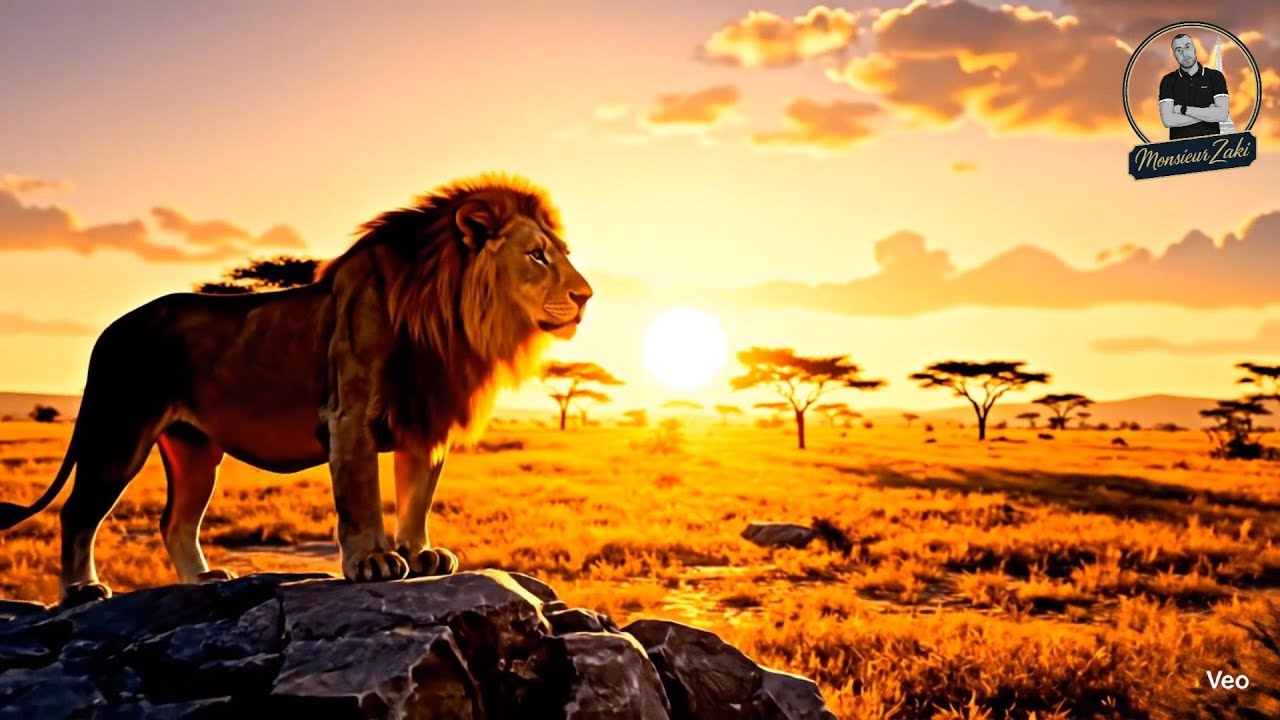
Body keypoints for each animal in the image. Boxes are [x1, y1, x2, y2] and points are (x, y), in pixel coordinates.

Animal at [0, 173, 592, 606]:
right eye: (537, 254)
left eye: (562, 251)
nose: (586, 296)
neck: (448, 322)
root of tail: (109, 331)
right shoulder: (350, 414)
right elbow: (361, 497)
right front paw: (374, 562)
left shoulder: (424, 420)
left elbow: (417, 497)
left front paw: (422, 555)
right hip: (118, 433)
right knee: (78, 513)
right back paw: (82, 590)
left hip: (196, 451)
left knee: (175, 522)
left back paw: (205, 580)